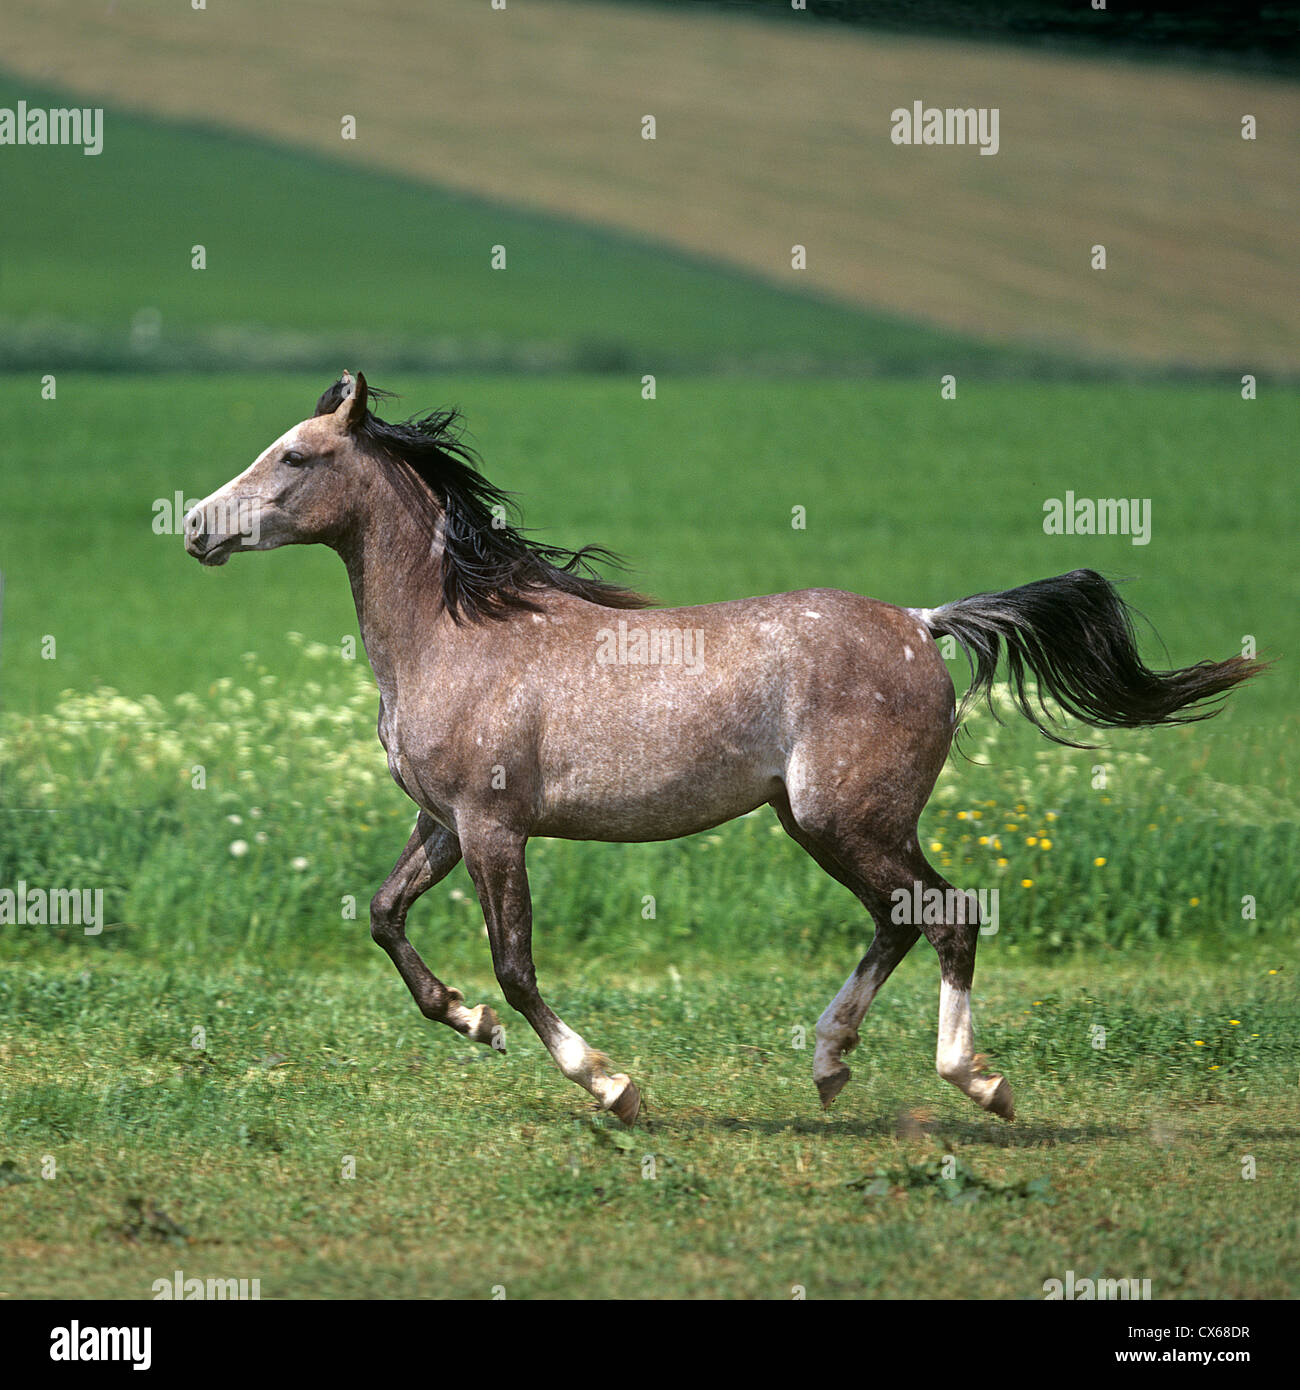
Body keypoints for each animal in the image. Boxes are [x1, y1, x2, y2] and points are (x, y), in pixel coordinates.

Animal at [184, 371, 1263, 1125]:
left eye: (293, 457)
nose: (194, 523)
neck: (457, 633)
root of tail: (923, 623)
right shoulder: (442, 823)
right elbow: (384, 917)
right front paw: (469, 1022)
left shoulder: (495, 827)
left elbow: (516, 964)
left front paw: (610, 1084)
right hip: (818, 823)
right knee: (901, 920)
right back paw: (830, 1062)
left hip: (850, 817)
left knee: (948, 915)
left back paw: (976, 1081)